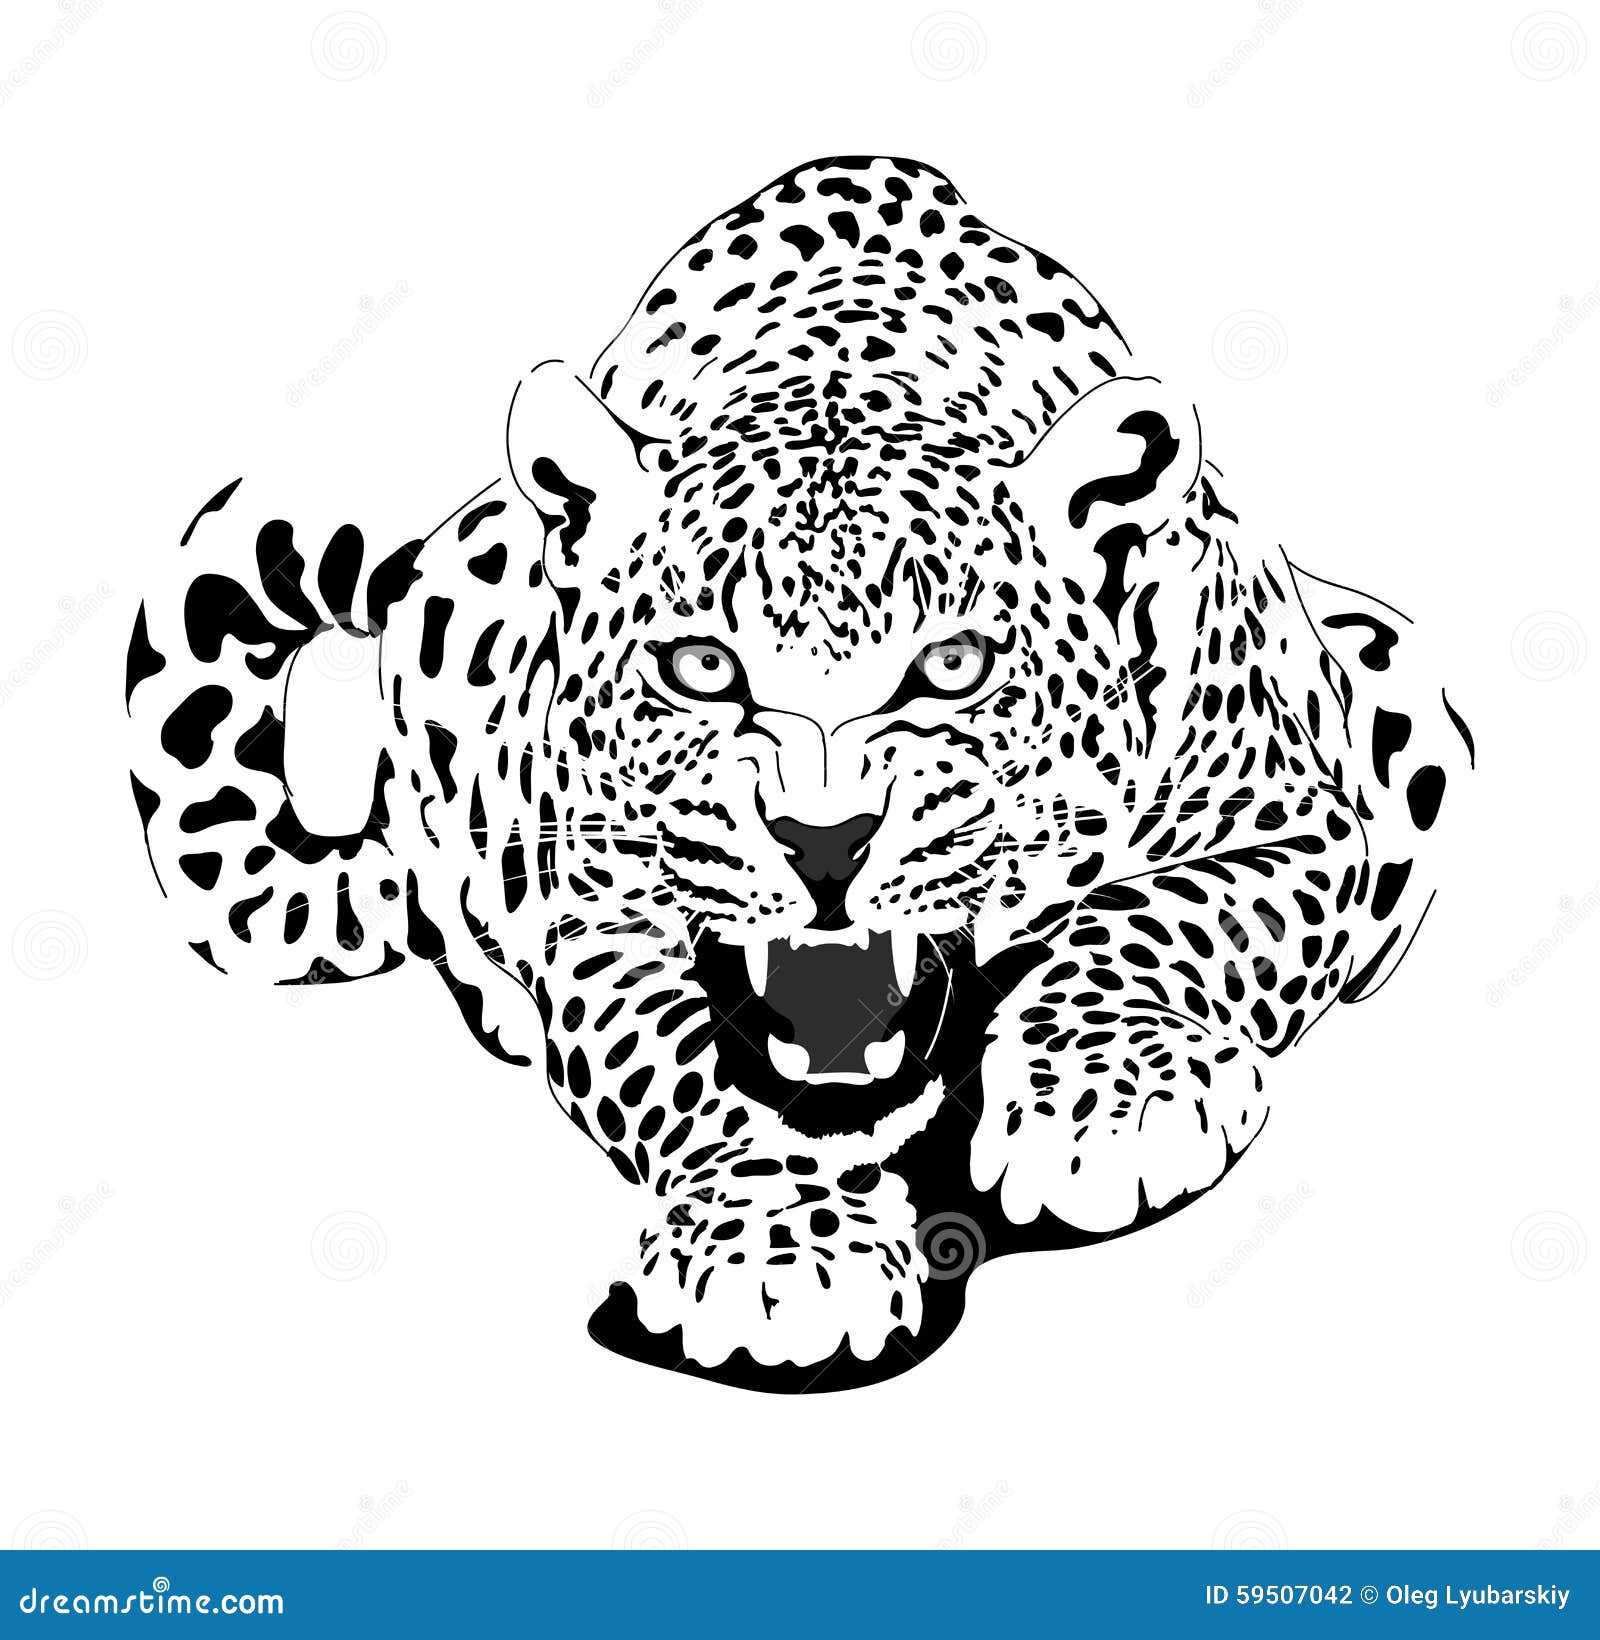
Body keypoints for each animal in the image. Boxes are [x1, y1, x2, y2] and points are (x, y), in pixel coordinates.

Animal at [125, 156, 1474, 1392]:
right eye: (701, 665)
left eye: (953, 664)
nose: (824, 839)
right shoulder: (594, 907)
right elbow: (681, 1054)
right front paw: (778, 1245)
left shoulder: (1304, 817)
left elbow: (1157, 913)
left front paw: (1109, 1096)